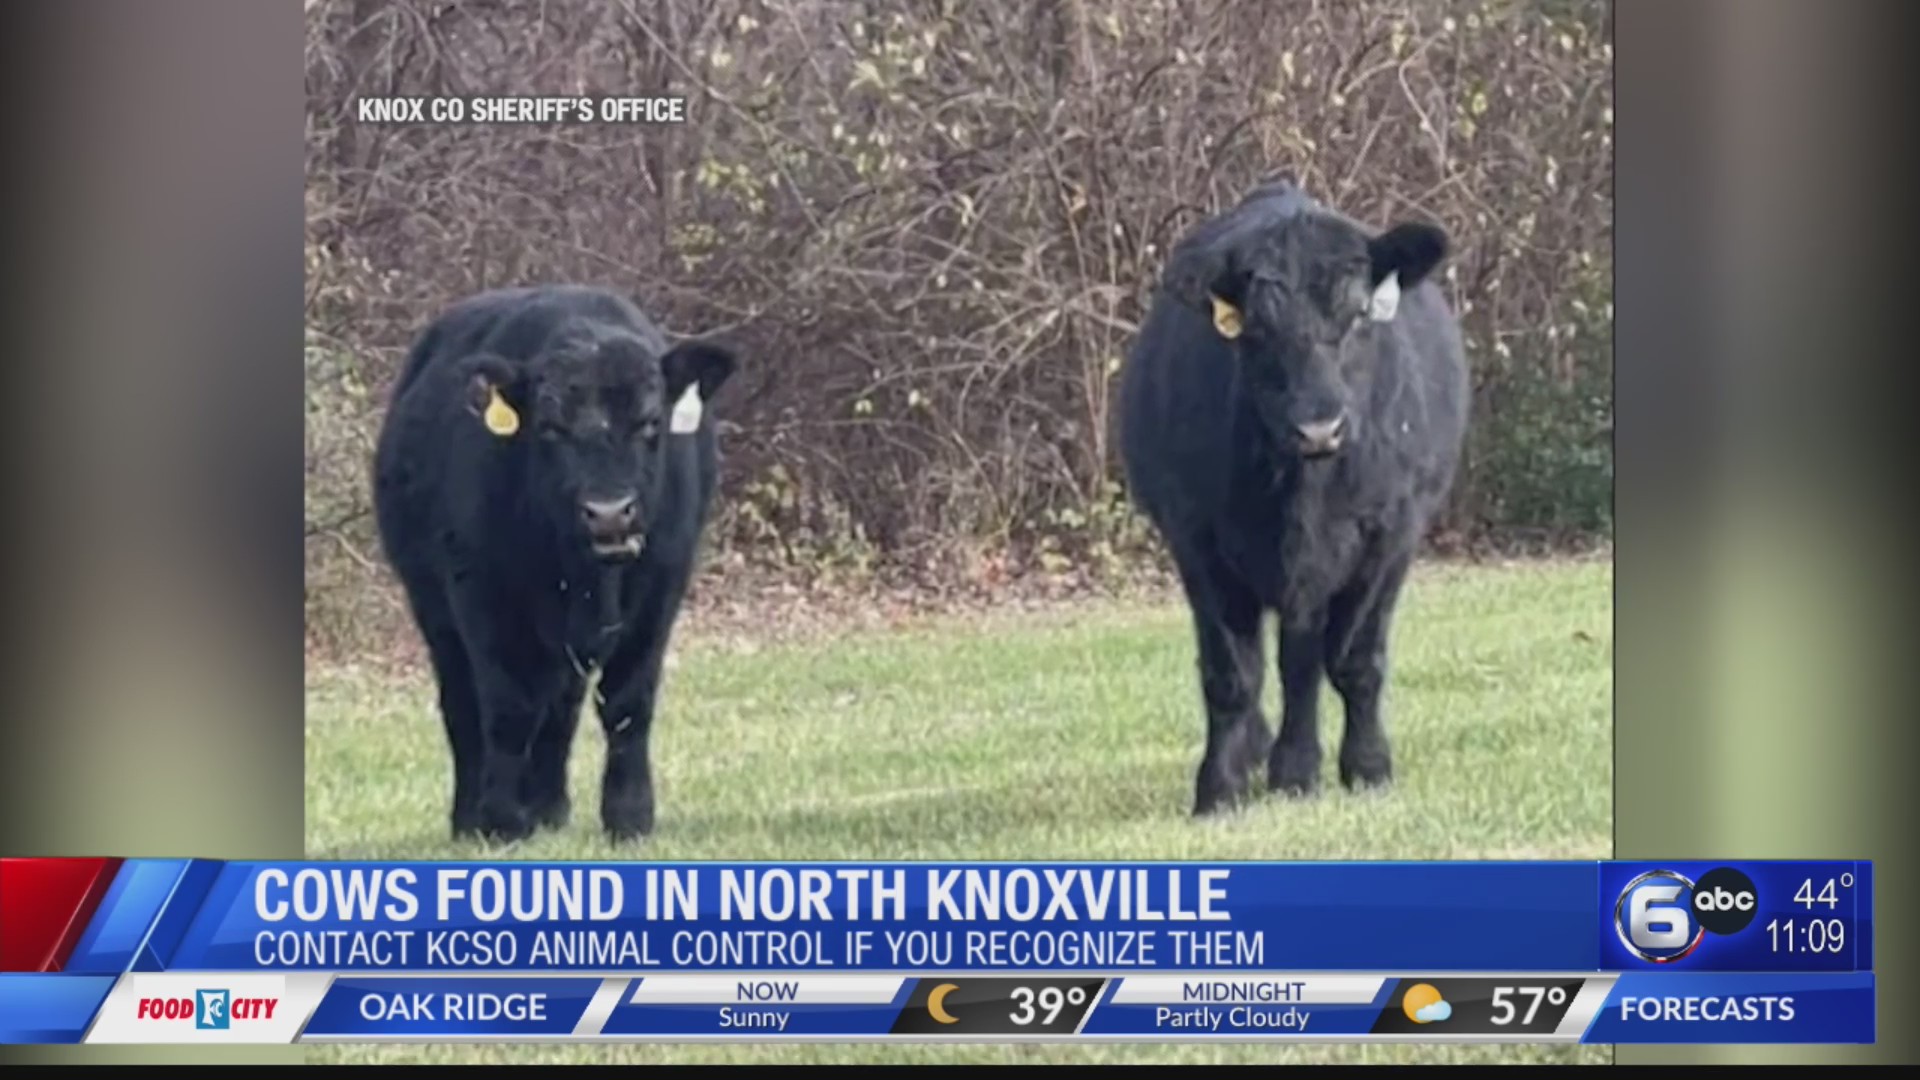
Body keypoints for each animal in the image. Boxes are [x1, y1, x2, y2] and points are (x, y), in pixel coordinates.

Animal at [372, 284, 737, 841]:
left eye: (651, 422)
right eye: (549, 428)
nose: (608, 512)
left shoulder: (661, 590)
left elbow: (628, 703)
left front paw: (629, 816)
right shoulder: (483, 596)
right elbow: (508, 707)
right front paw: (501, 821)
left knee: (561, 706)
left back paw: (549, 808)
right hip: (433, 607)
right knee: (464, 705)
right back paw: (469, 817)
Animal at [1118, 180, 1469, 816]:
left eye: (1360, 315)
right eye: (1255, 329)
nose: (1319, 428)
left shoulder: (1390, 535)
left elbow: (1354, 660)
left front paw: (1365, 768)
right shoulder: (1197, 541)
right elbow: (1232, 674)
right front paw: (1220, 786)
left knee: (1303, 659)